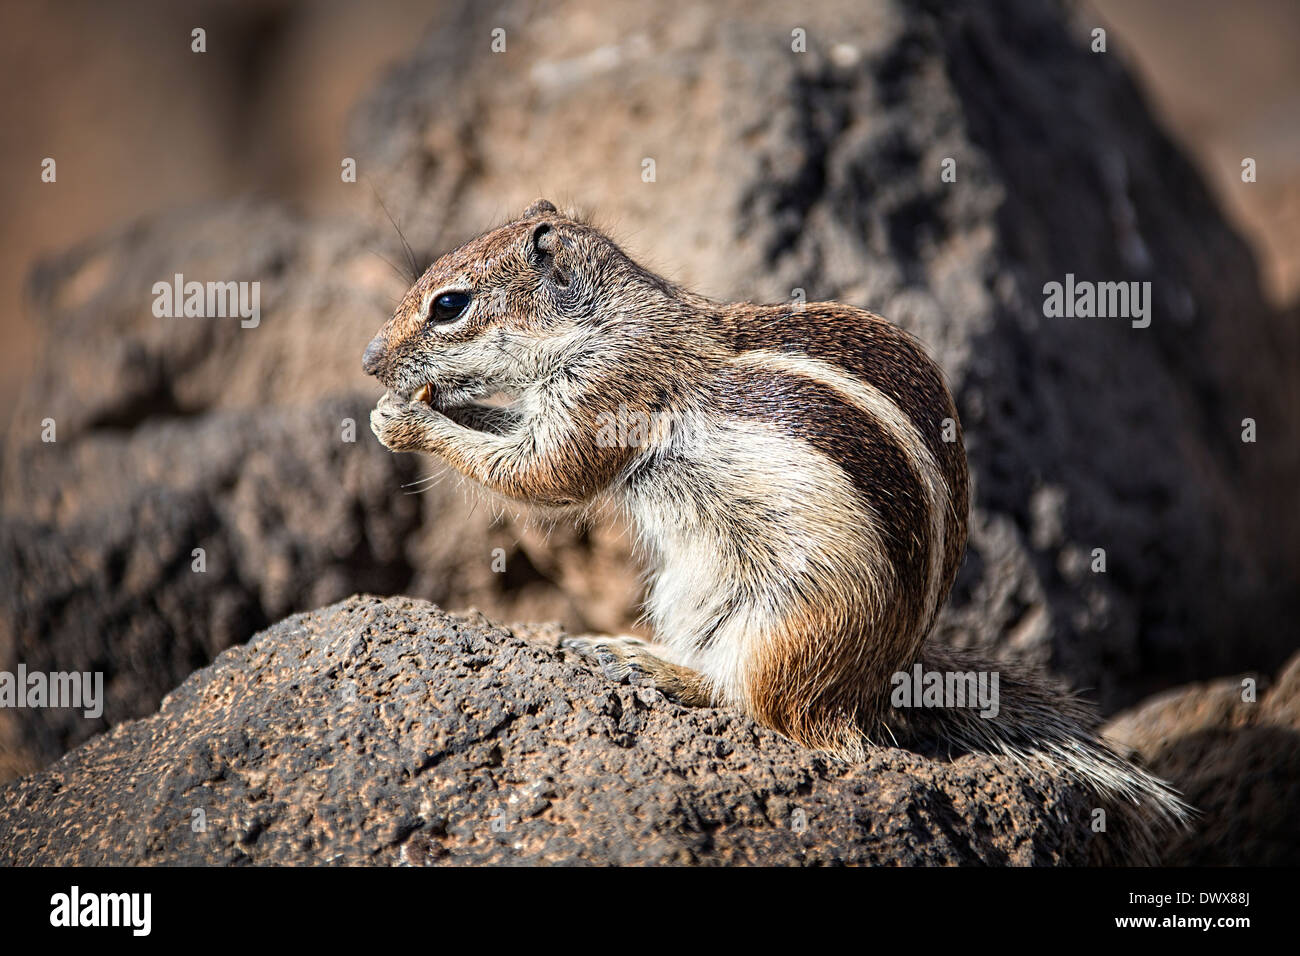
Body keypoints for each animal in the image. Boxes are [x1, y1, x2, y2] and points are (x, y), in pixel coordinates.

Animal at [364, 199, 1191, 859]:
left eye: (450, 304)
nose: (370, 360)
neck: (601, 319)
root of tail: (877, 690)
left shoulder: (608, 392)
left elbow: (546, 475)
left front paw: (405, 421)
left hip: (787, 633)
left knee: (768, 711)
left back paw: (656, 668)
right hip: (689, 591)